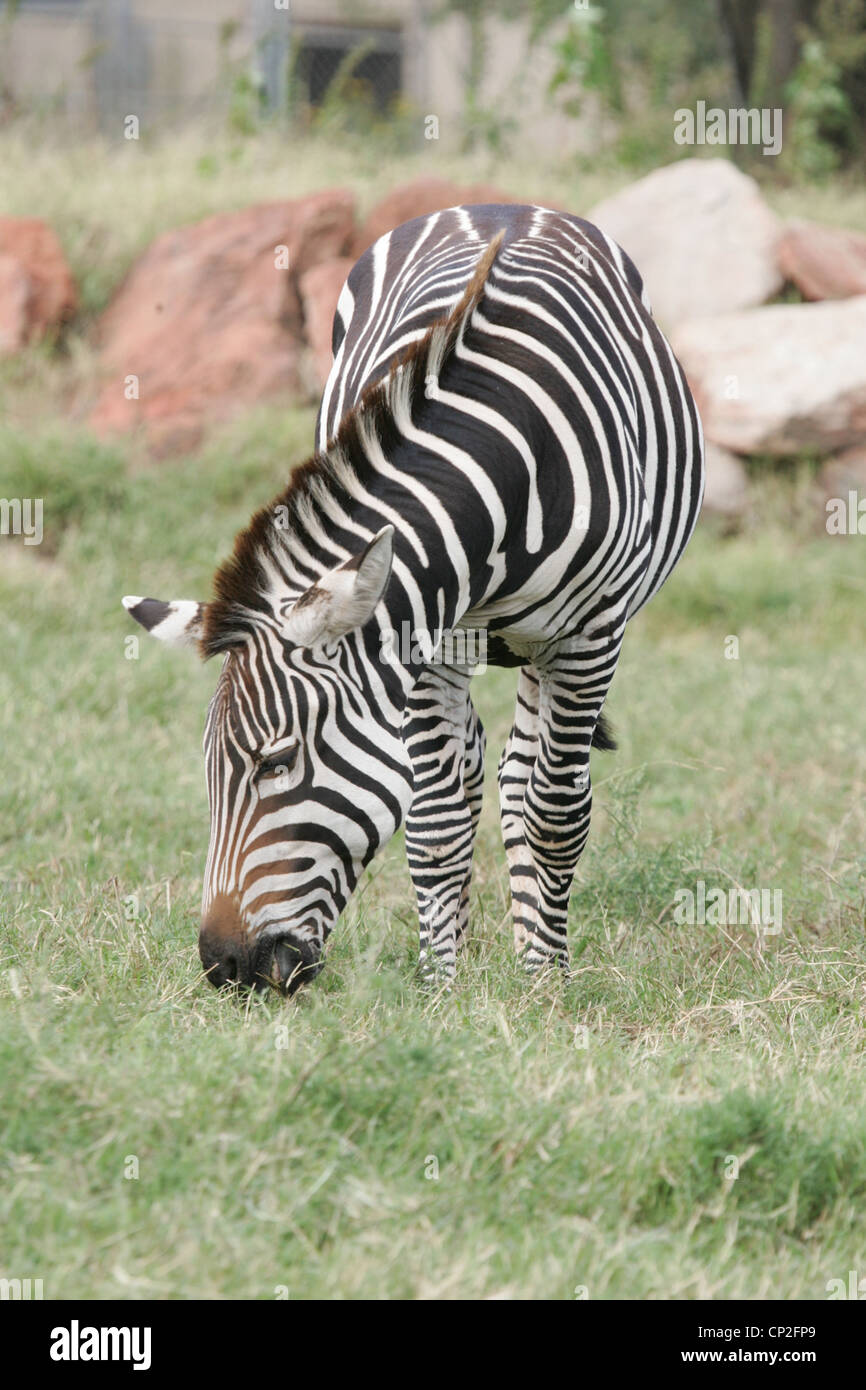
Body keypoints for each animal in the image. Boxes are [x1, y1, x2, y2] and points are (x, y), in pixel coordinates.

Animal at [123, 202, 704, 995]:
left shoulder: (589, 634)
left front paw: (547, 990)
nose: (226, 967)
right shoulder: (424, 641)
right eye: (210, 768)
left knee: (526, 779)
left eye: (277, 762)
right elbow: (436, 819)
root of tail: (499, 206)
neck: (501, 467)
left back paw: (534, 959)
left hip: (549, 648)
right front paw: (441, 990)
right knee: (479, 771)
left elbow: (554, 813)